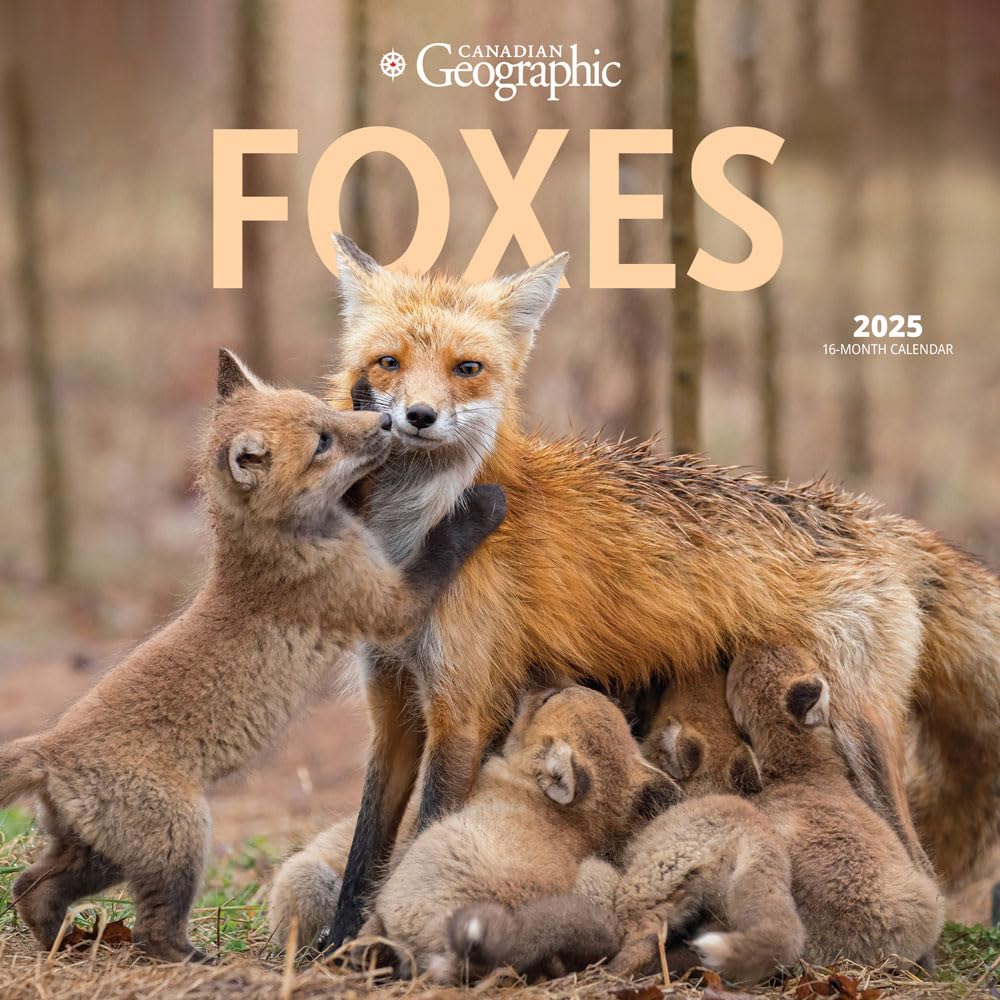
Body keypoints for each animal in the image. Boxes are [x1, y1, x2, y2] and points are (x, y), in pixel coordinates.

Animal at [0, 350, 505, 963]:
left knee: (33, 886)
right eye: (322, 443)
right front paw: (478, 507)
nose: (386, 421)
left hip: (102, 855)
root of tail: (49, 748)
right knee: (150, 930)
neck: (276, 543)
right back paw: (195, 957)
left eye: (326, 415)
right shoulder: (387, 603)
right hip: (181, 839)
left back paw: (60, 943)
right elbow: (438, 549)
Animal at [316, 234, 1000, 949]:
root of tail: (873, 518)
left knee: (920, 862)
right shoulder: (392, 701)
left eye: (466, 368)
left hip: (860, 732)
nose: (420, 416)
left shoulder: (462, 709)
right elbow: (366, 846)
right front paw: (333, 948)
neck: (417, 535)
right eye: (388, 363)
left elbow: (423, 833)